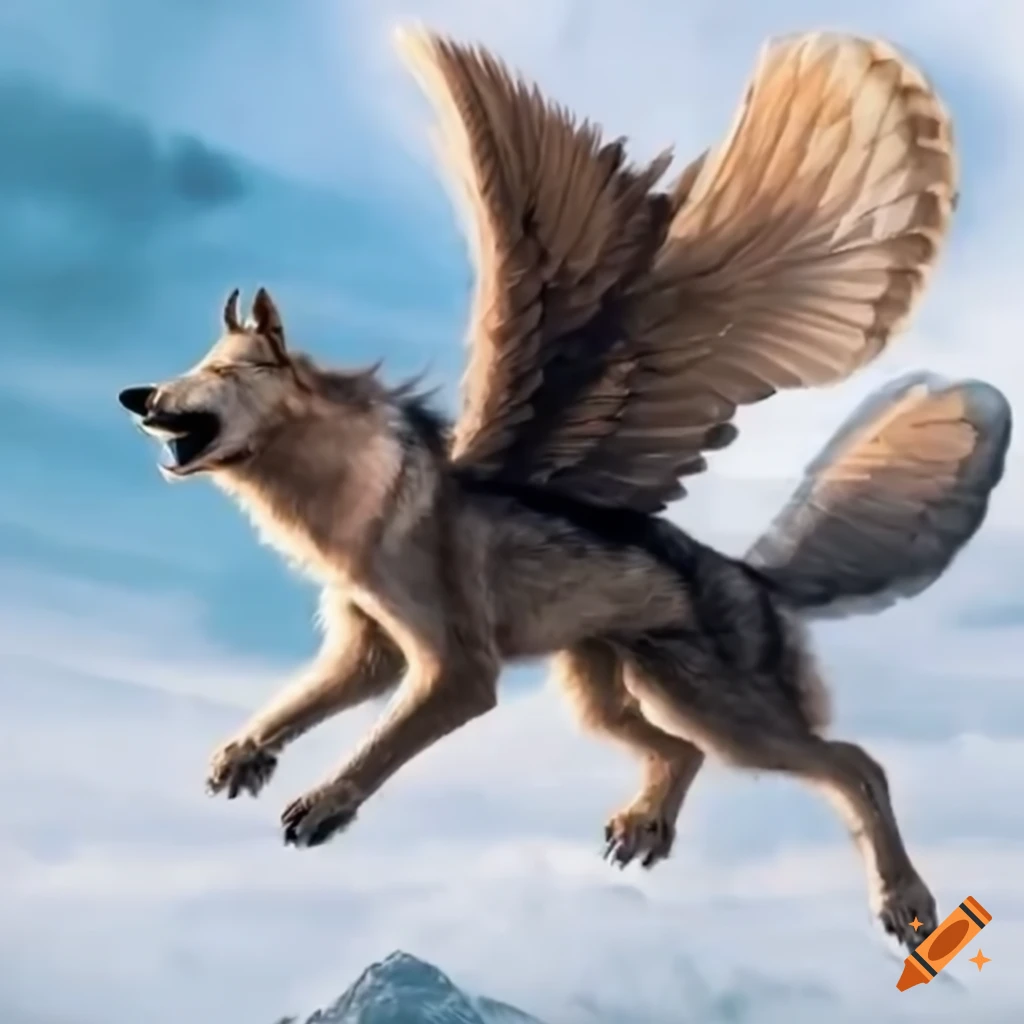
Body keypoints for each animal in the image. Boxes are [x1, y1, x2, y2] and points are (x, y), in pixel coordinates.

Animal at [117, 30, 1012, 951]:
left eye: (220, 373)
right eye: (192, 366)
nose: (137, 397)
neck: (357, 502)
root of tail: (751, 574)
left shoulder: (456, 673)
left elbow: (378, 744)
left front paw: (326, 803)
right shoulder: (369, 651)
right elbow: (295, 703)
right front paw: (244, 754)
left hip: (726, 714)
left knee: (854, 765)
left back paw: (905, 903)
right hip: (611, 695)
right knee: (683, 752)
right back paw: (647, 828)